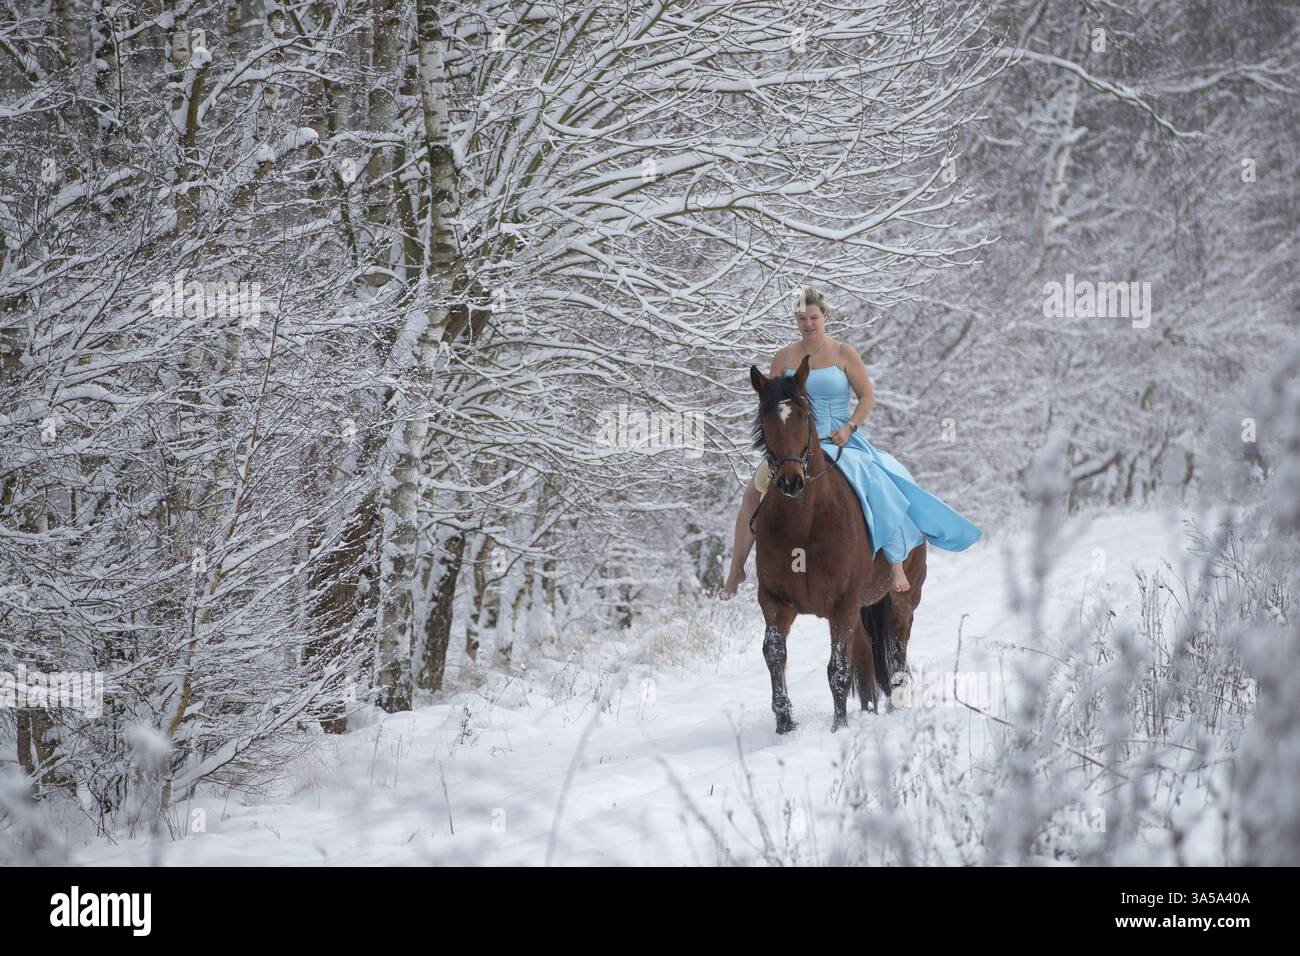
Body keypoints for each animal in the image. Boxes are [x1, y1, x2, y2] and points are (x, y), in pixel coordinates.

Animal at [748, 355, 927, 733]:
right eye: (765, 419)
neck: (804, 524)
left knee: (897, 650)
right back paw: (871, 709)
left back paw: (897, 702)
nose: (790, 481)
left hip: (904, 598)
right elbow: (774, 653)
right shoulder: (775, 601)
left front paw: (839, 727)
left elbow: (838, 669)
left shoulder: (842, 605)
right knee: (866, 653)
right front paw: (785, 723)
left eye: (804, 416)